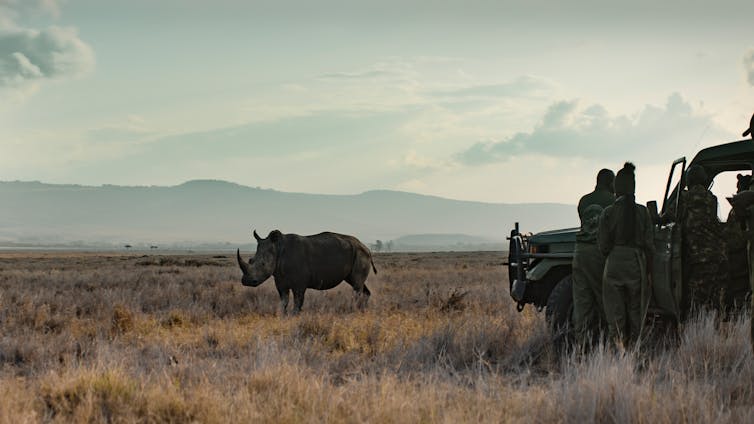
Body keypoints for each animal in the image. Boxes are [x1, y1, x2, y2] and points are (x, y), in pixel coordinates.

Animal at [236, 229, 377, 314]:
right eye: (250, 260)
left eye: (263, 264)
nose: (246, 281)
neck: (278, 249)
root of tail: (367, 248)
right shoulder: (280, 280)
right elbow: (284, 301)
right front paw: (283, 316)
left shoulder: (299, 284)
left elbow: (297, 302)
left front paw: (294, 316)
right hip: (357, 254)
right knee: (357, 283)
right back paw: (362, 311)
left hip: (360, 253)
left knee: (356, 285)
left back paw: (353, 310)